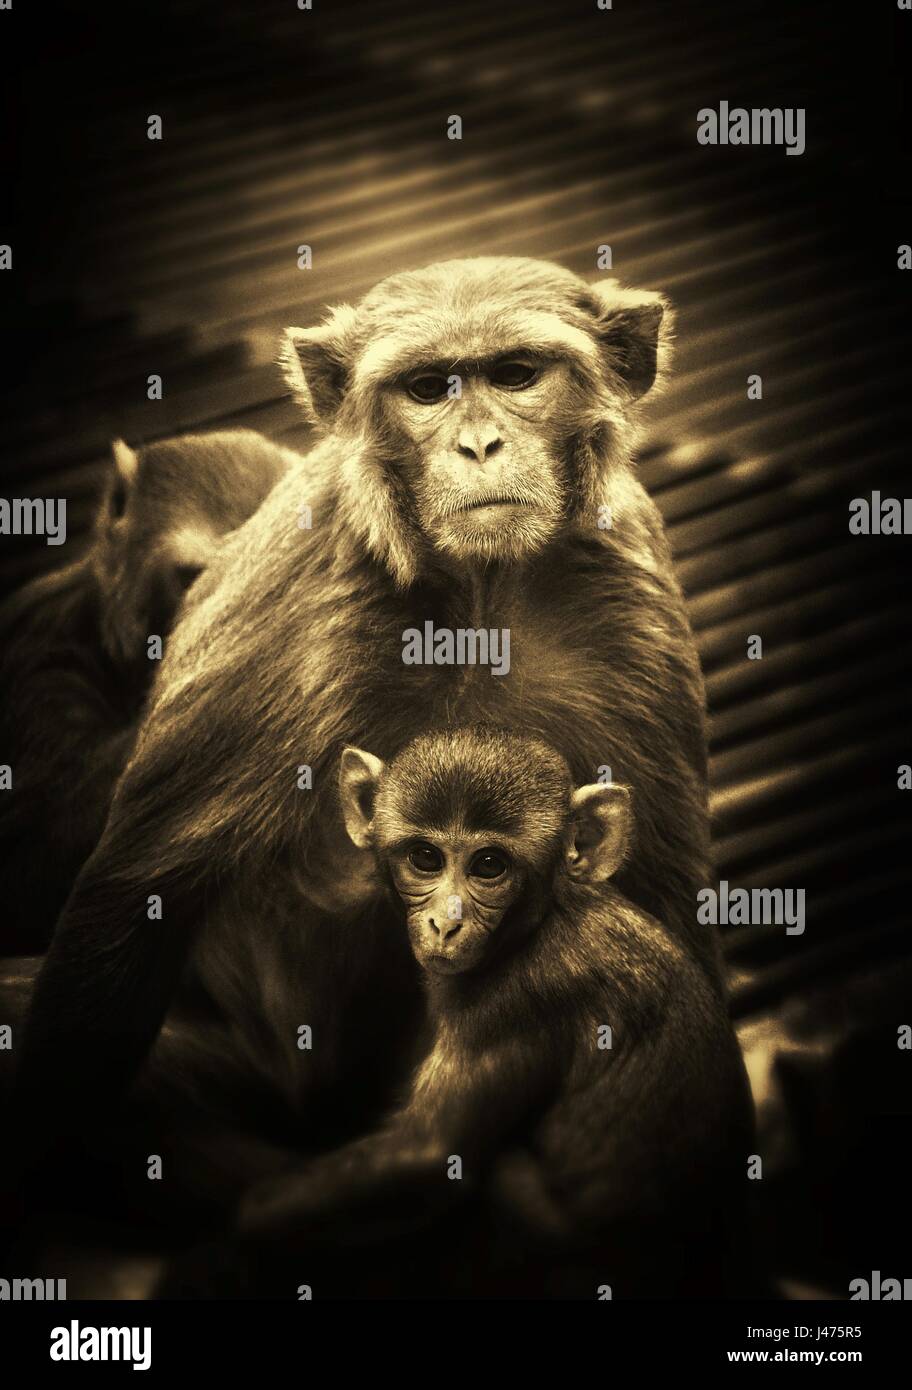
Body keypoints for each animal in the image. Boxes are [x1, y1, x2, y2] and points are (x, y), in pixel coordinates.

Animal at [234, 725, 754, 1298]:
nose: (446, 922)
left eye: (489, 865)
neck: (538, 923)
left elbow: (425, 1156)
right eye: (425, 857)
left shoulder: (518, 1003)